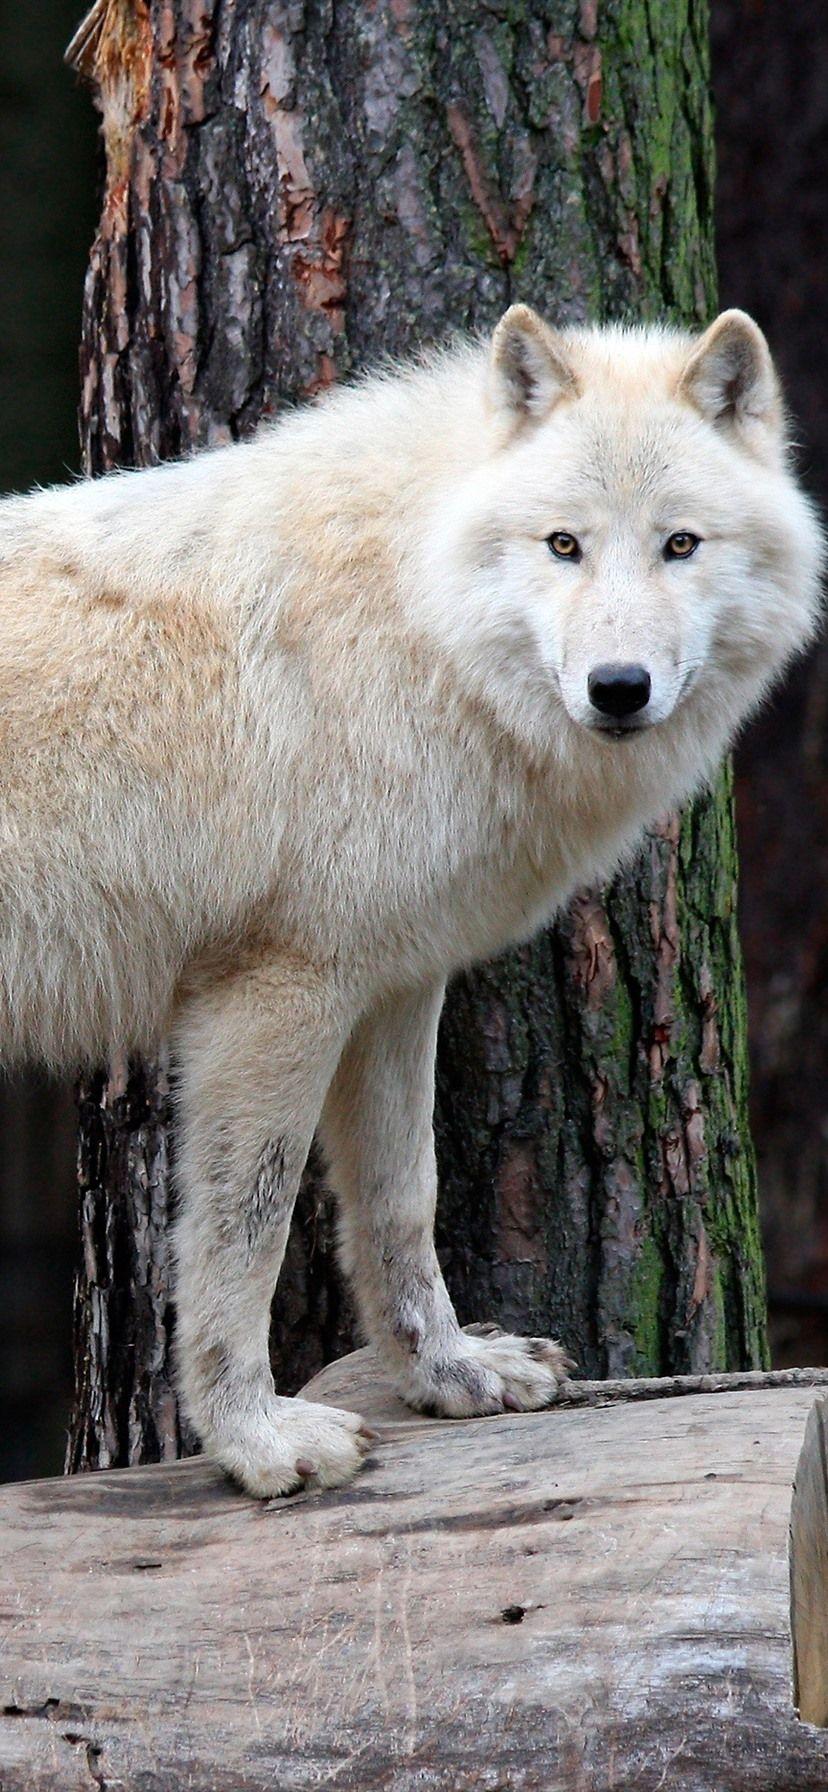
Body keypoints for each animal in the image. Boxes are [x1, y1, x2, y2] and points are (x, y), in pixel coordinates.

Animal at [0, 305, 821, 1495]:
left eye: (680, 544)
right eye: (564, 545)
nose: (618, 689)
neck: (418, 613)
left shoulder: (392, 981)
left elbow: (401, 1197)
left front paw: (450, 1373)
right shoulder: (277, 990)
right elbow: (244, 1231)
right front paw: (257, 1443)